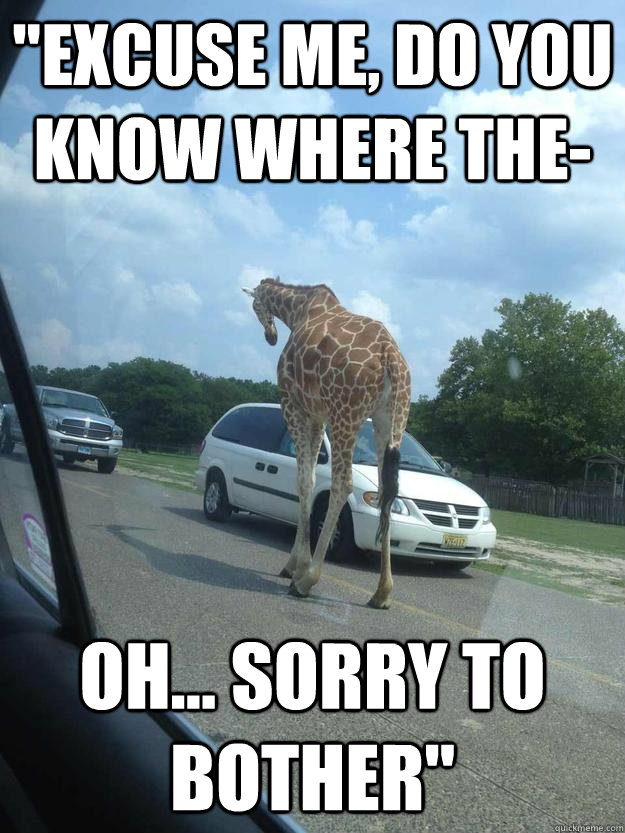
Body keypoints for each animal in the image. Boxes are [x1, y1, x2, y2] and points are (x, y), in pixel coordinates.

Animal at [242, 278, 411, 609]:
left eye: (255, 304)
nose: (270, 336)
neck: (298, 311)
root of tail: (390, 357)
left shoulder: (295, 405)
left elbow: (304, 482)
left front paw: (294, 566)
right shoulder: (318, 414)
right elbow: (308, 479)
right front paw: (296, 563)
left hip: (346, 415)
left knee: (343, 485)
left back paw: (307, 581)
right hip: (390, 421)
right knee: (387, 491)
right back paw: (382, 593)